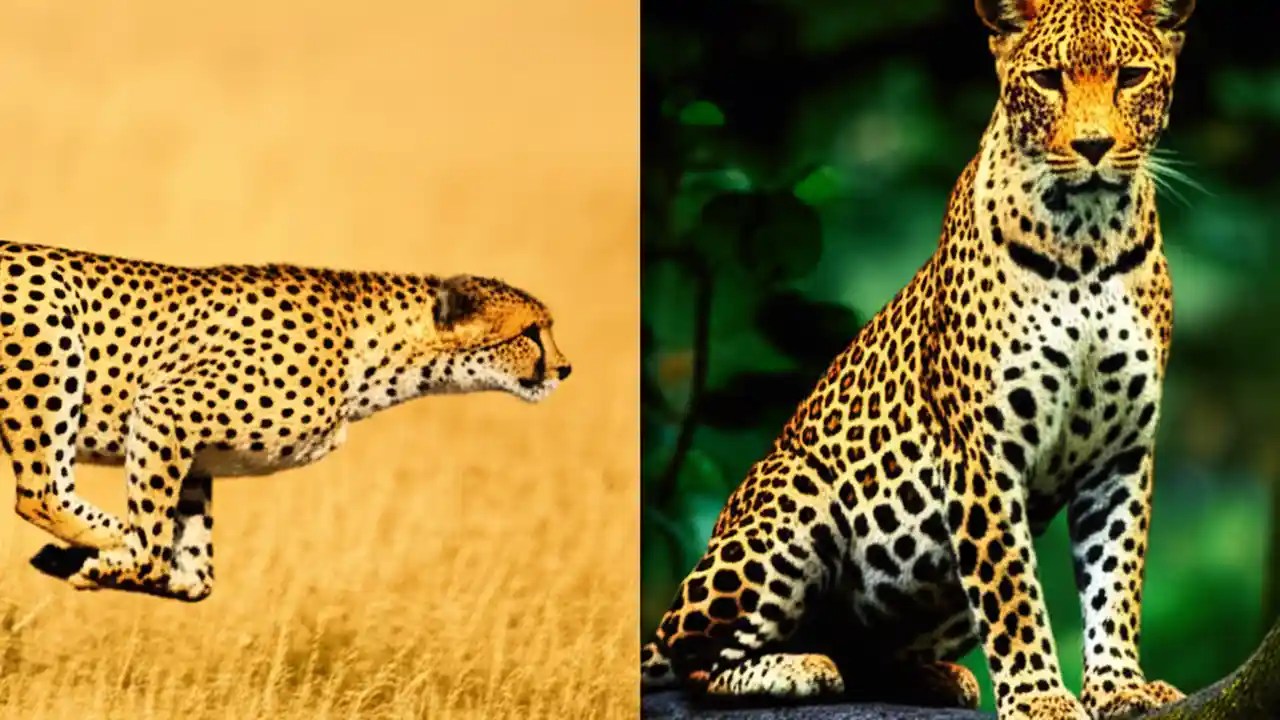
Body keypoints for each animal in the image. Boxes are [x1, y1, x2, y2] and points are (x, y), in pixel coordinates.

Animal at [0, 240, 571, 602]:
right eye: (531, 332)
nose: (565, 368)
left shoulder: (197, 456)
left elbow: (198, 575)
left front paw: (79, 563)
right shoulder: (167, 405)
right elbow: (156, 546)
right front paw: (111, 554)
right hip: (53, 334)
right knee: (41, 492)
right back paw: (116, 535)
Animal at [642, 0, 1196, 718]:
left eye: (1130, 77)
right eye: (1048, 80)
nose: (1094, 146)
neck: (1088, 240)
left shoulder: (1121, 454)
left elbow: (1115, 579)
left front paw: (1120, 685)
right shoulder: (982, 453)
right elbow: (1013, 593)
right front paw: (1041, 697)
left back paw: (935, 677)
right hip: (796, 497)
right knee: (695, 665)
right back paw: (799, 667)